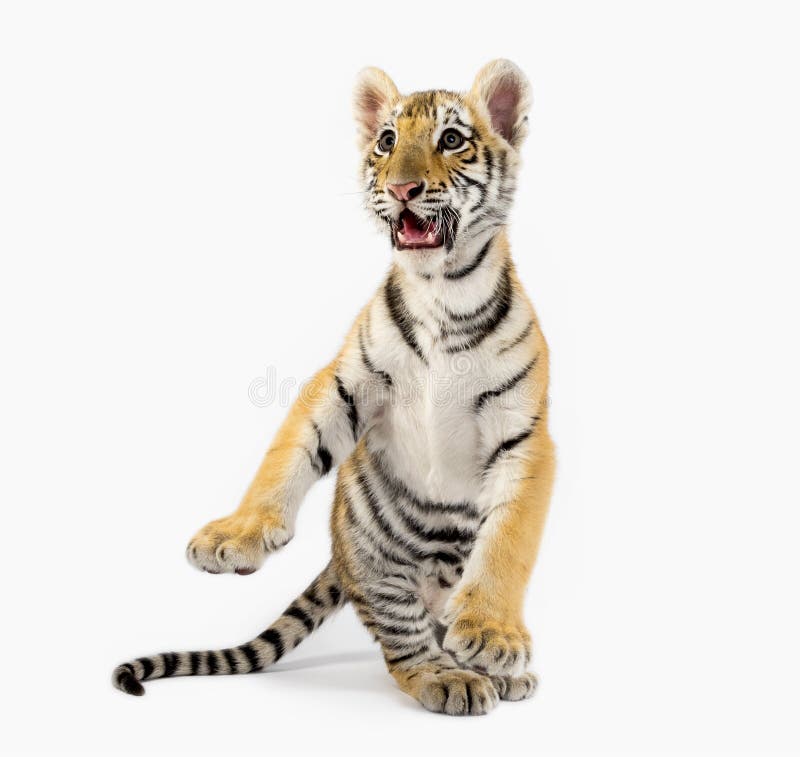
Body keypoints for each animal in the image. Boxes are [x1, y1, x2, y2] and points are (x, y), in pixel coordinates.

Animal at [113, 59, 555, 716]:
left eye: (452, 139)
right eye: (387, 142)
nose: (402, 189)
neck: (442, 291)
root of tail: (341, 562)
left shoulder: (525, 437)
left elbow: (509, 541)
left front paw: (494, 635)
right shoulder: (346, 382)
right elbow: (287, 452)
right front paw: (236, 535)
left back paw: (488, 670)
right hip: (377, 565)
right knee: (406, 645)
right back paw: (450, 678)